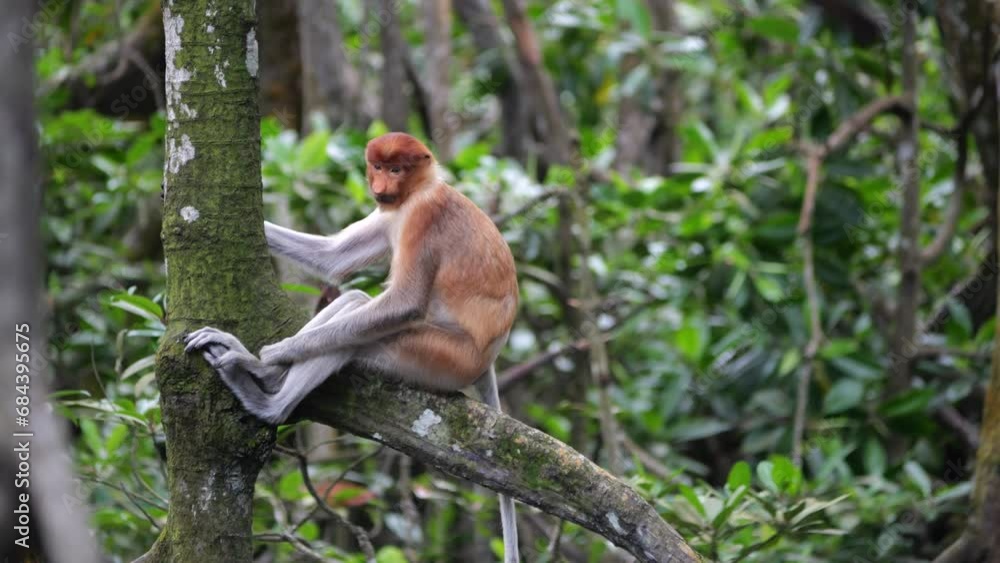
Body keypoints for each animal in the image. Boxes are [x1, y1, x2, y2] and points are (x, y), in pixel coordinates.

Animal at [184, 132, 520, 562]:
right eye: (377, 167)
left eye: (397, 169)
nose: (380, 187)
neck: (417, 192)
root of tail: (489, 355)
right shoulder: (391, 212)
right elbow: (333, 259)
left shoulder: (424, 216)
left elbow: (404, 303)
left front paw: (276, 353)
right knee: (355, 300)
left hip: (438, 357)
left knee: (359, 327)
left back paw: (264, 389)